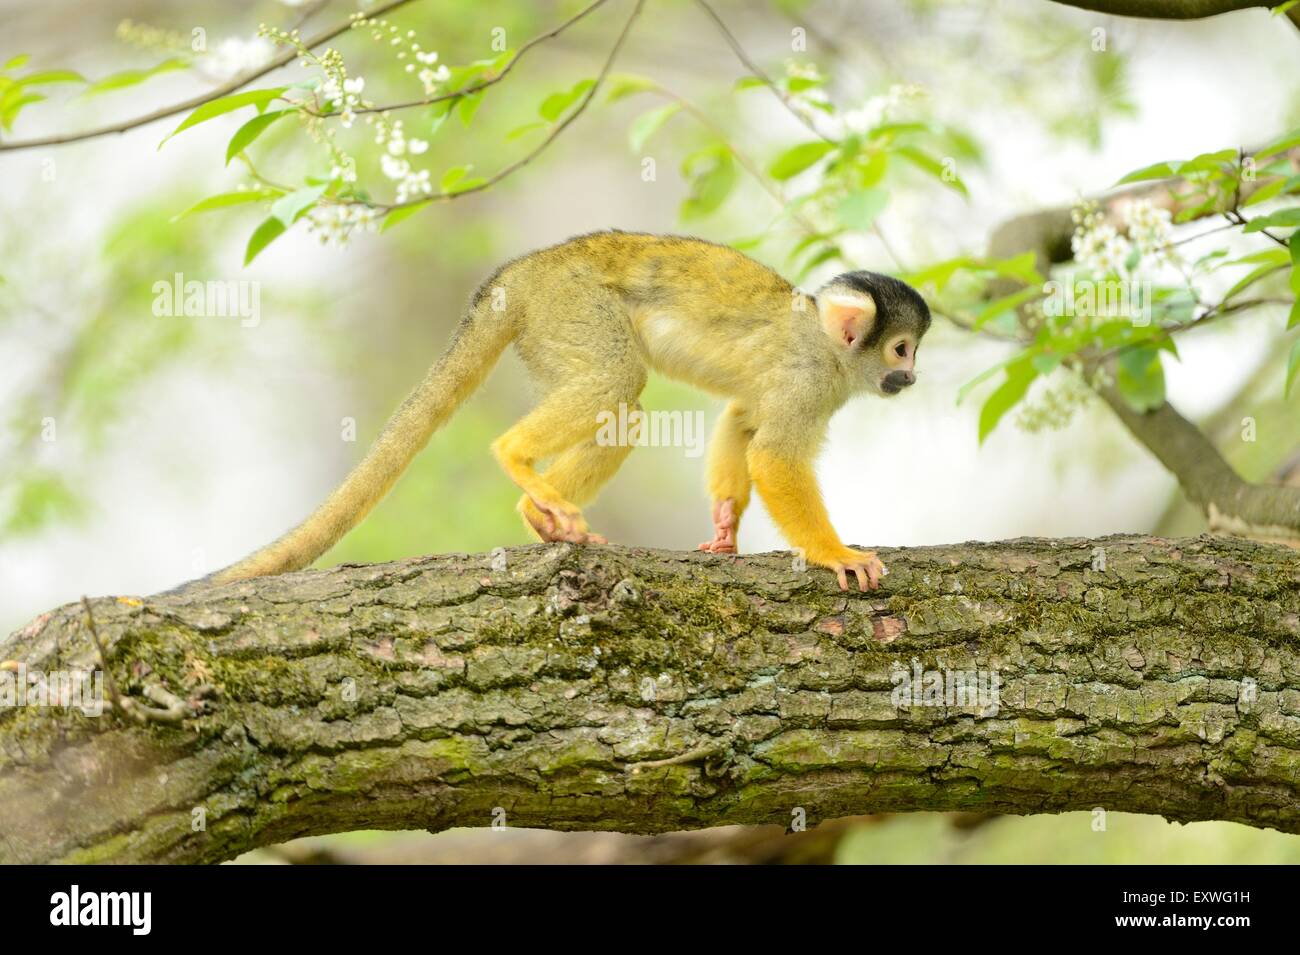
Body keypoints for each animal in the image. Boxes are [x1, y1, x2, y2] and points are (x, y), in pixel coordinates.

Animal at [205, 231, 930, 592]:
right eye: (900, 347)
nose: (911, 375)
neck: (830, 349)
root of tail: (519, 274)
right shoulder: (810, 378)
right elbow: (774, 454)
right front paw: (836, 553)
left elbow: (742, 420)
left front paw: (725, 527)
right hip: (572, 304)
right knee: (617, 381)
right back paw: (516, 459)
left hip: (548, 331)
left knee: (622, 410)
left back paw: (539, 514)